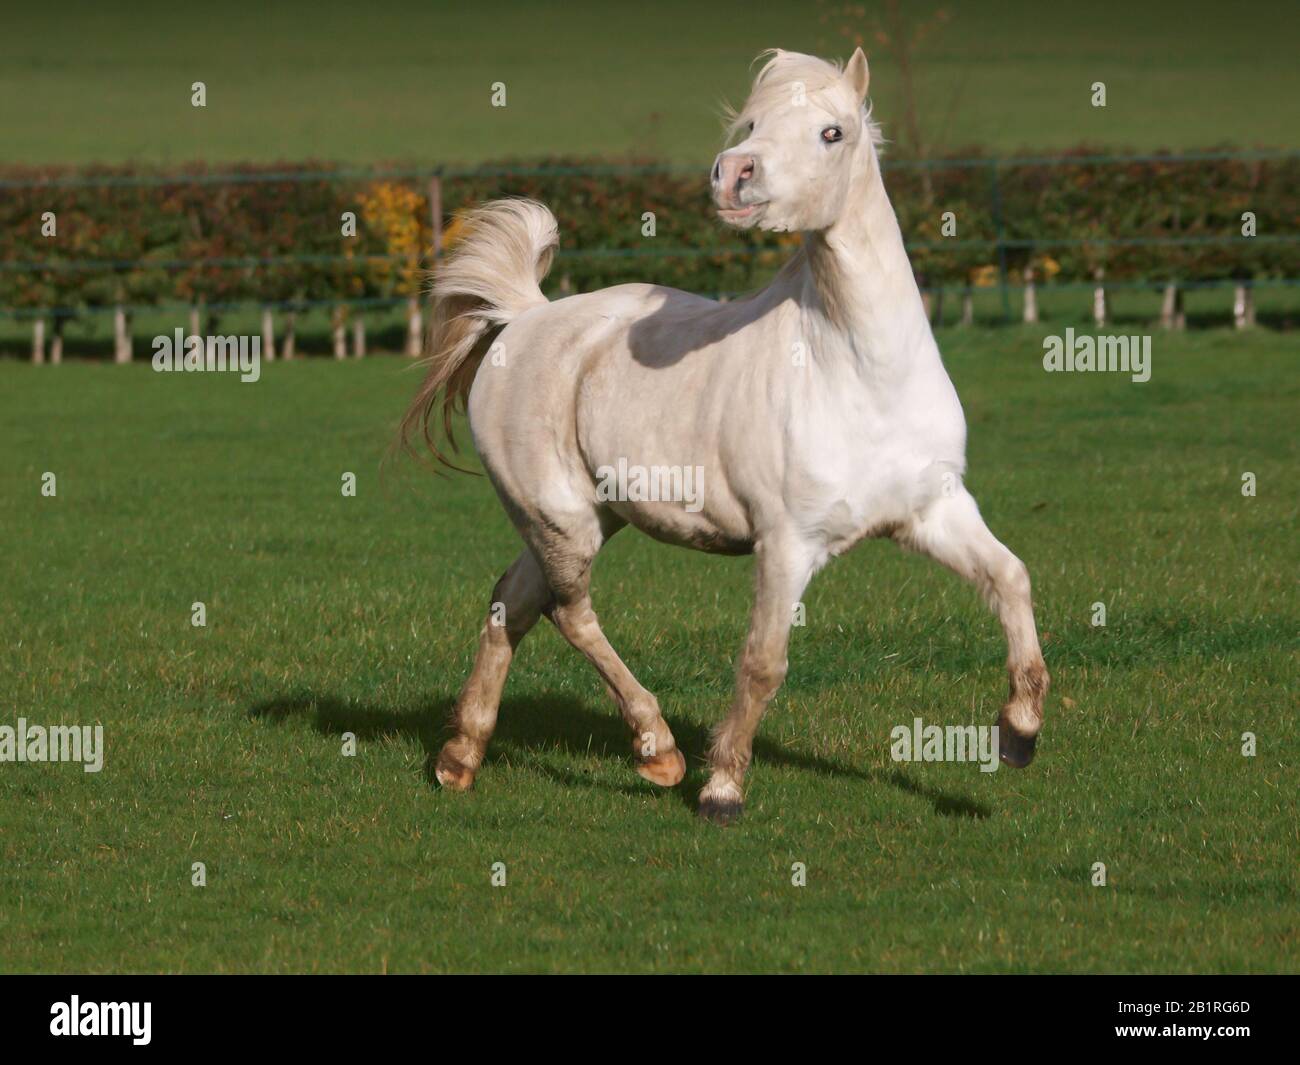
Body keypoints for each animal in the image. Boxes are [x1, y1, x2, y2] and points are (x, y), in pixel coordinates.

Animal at [399, 47, 1049, 823]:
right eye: (752, 123)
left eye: (833, 132)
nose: (734, 173)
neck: (860, 372)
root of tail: (524, 316)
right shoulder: (787, 543)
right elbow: (763, 662)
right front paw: (722, 789)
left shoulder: (934, 511)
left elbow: (1011, 578)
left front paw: (1019, 733)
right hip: (561, 521)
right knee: (569, 610)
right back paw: (658, 750)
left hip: (585, 517)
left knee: (513, 603)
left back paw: (460, 758)